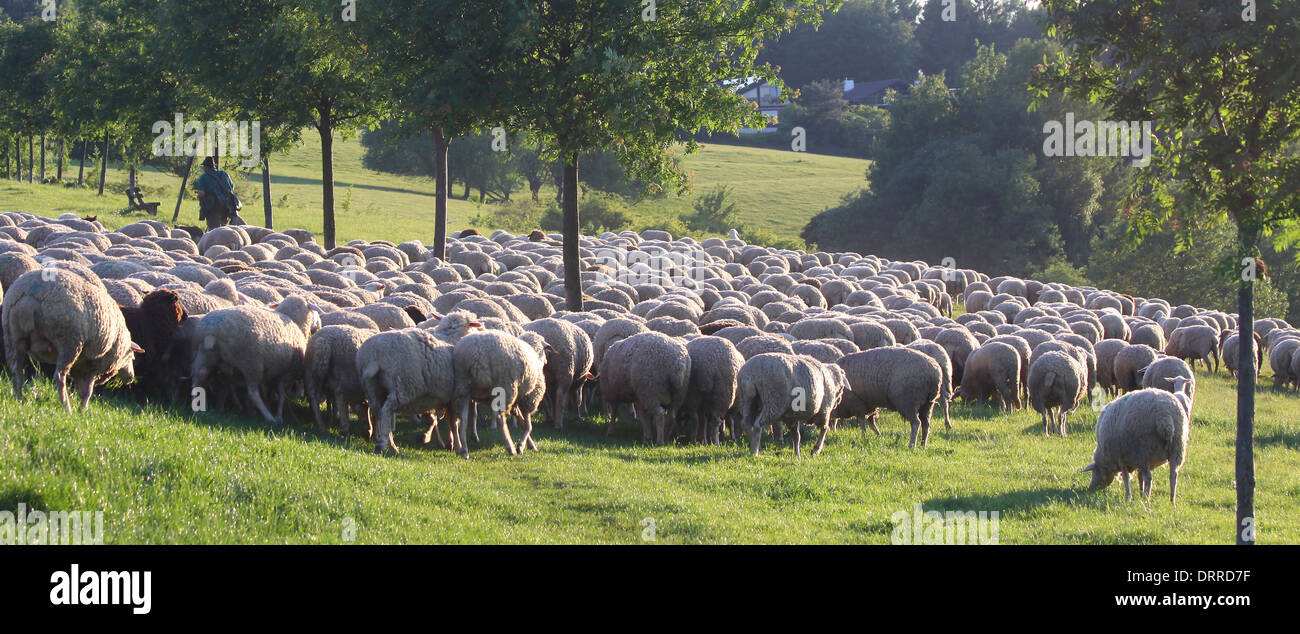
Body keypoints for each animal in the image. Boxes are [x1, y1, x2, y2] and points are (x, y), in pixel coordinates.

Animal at [3, 268, 142, 412]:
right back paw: (66, 407)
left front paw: (81, 409)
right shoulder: (94, 365)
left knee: (16, 372)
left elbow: (81, 390)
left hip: (12, 337)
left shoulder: (79, 366)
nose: (131, 377)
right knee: (59, 376)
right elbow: (88, 391)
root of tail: (30, 292)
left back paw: (19, 400)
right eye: (132, 357)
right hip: (69, 342)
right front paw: (83, 410)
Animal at [190, 295, 321, 424]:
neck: (294, 320)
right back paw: (269, 418)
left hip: (205, 356)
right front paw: (279, 417)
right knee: (253, 392)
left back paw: (197, 405)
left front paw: (248, 410)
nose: (318, 325)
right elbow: (282, 395)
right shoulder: (285, 373)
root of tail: (211, 333)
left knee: (198, 378)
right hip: (251, 363)